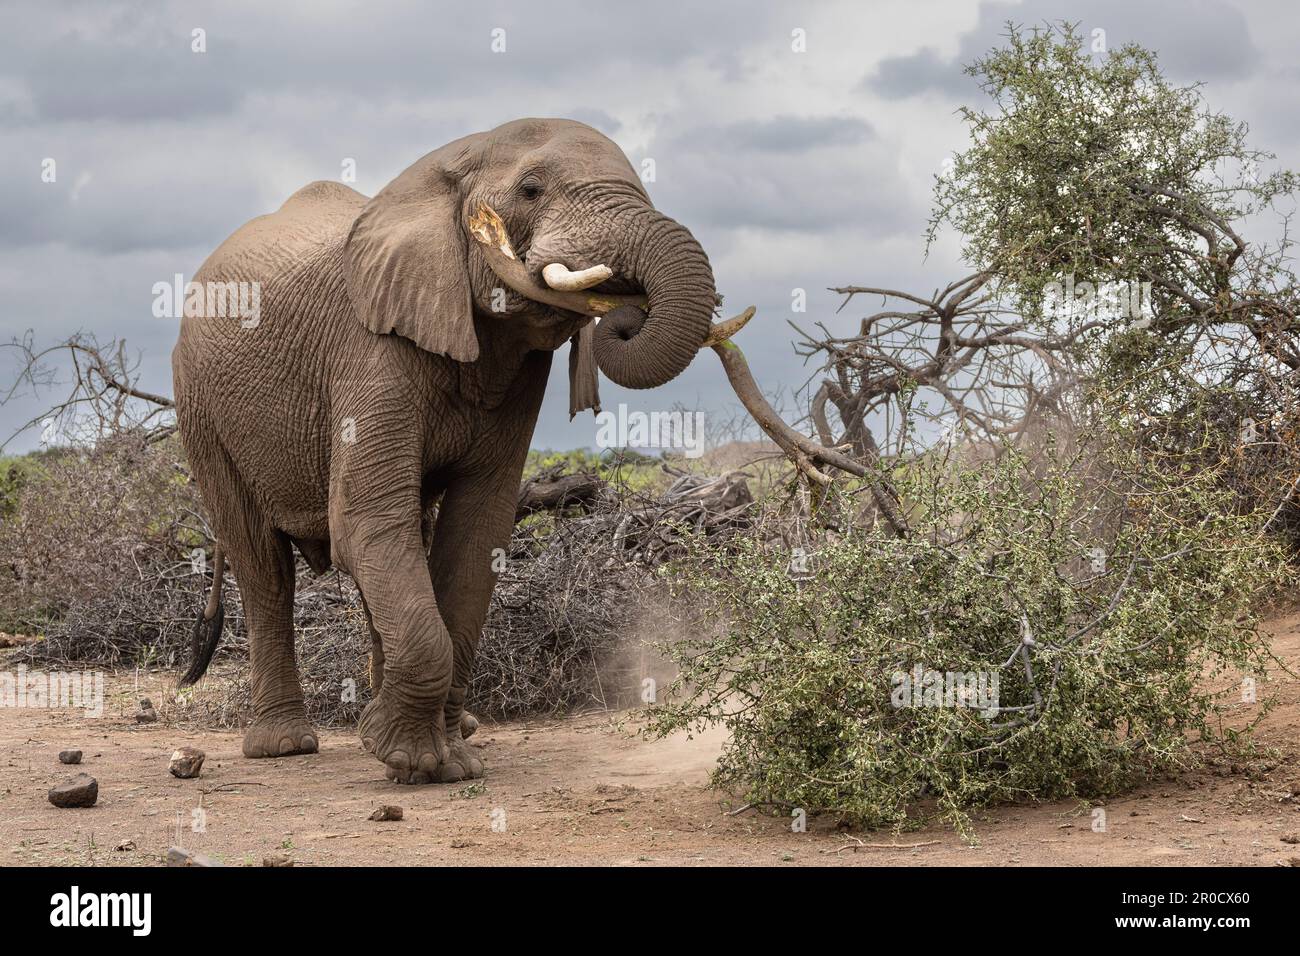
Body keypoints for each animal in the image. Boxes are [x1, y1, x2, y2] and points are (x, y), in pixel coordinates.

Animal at [171, 118, 718, 783]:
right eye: (531, 190)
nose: (625, 314)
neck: (449, 167)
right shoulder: (370, 347)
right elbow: (367, 521)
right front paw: (417, 762)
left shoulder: (520, 369)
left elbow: (474, 533)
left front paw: (442, 756)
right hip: (202, 409)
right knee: (266, 564)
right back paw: (284, 746)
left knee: (396, 543)